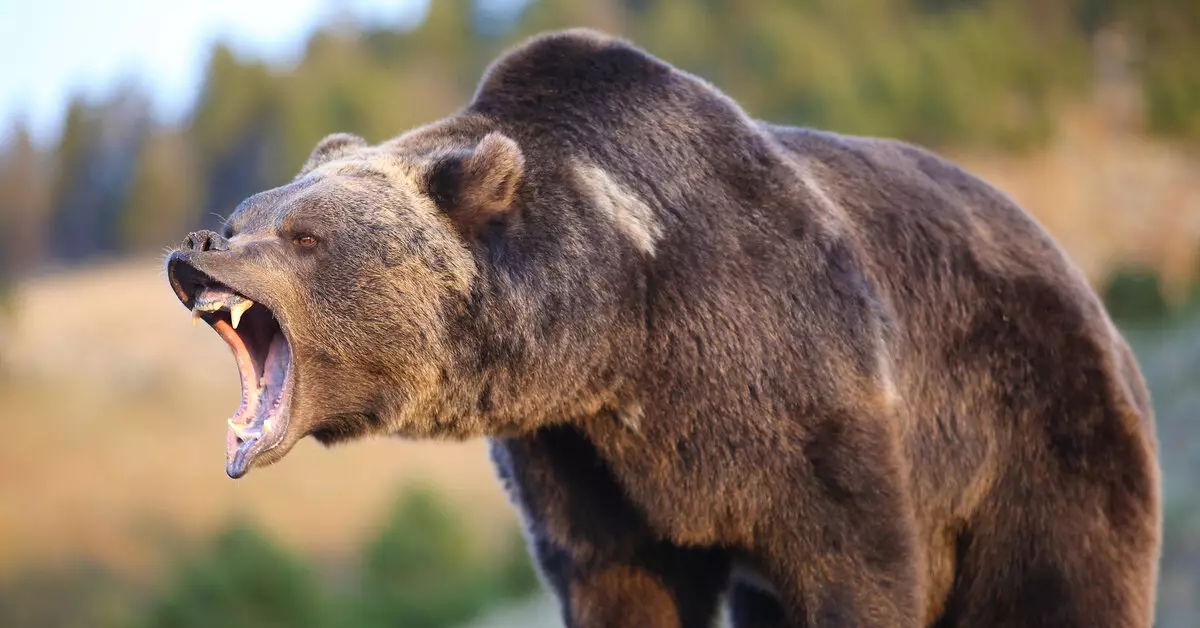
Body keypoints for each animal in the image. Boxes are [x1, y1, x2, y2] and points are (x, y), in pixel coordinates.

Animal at [164, 28, 1156, 628]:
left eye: (304, 235)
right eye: (245, 213)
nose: (198, 246)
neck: (621, 331)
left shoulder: (802, 386)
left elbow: (858, 561)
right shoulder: (581, 462)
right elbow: (621, 580)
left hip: (1034, 434)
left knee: (1059, 582)